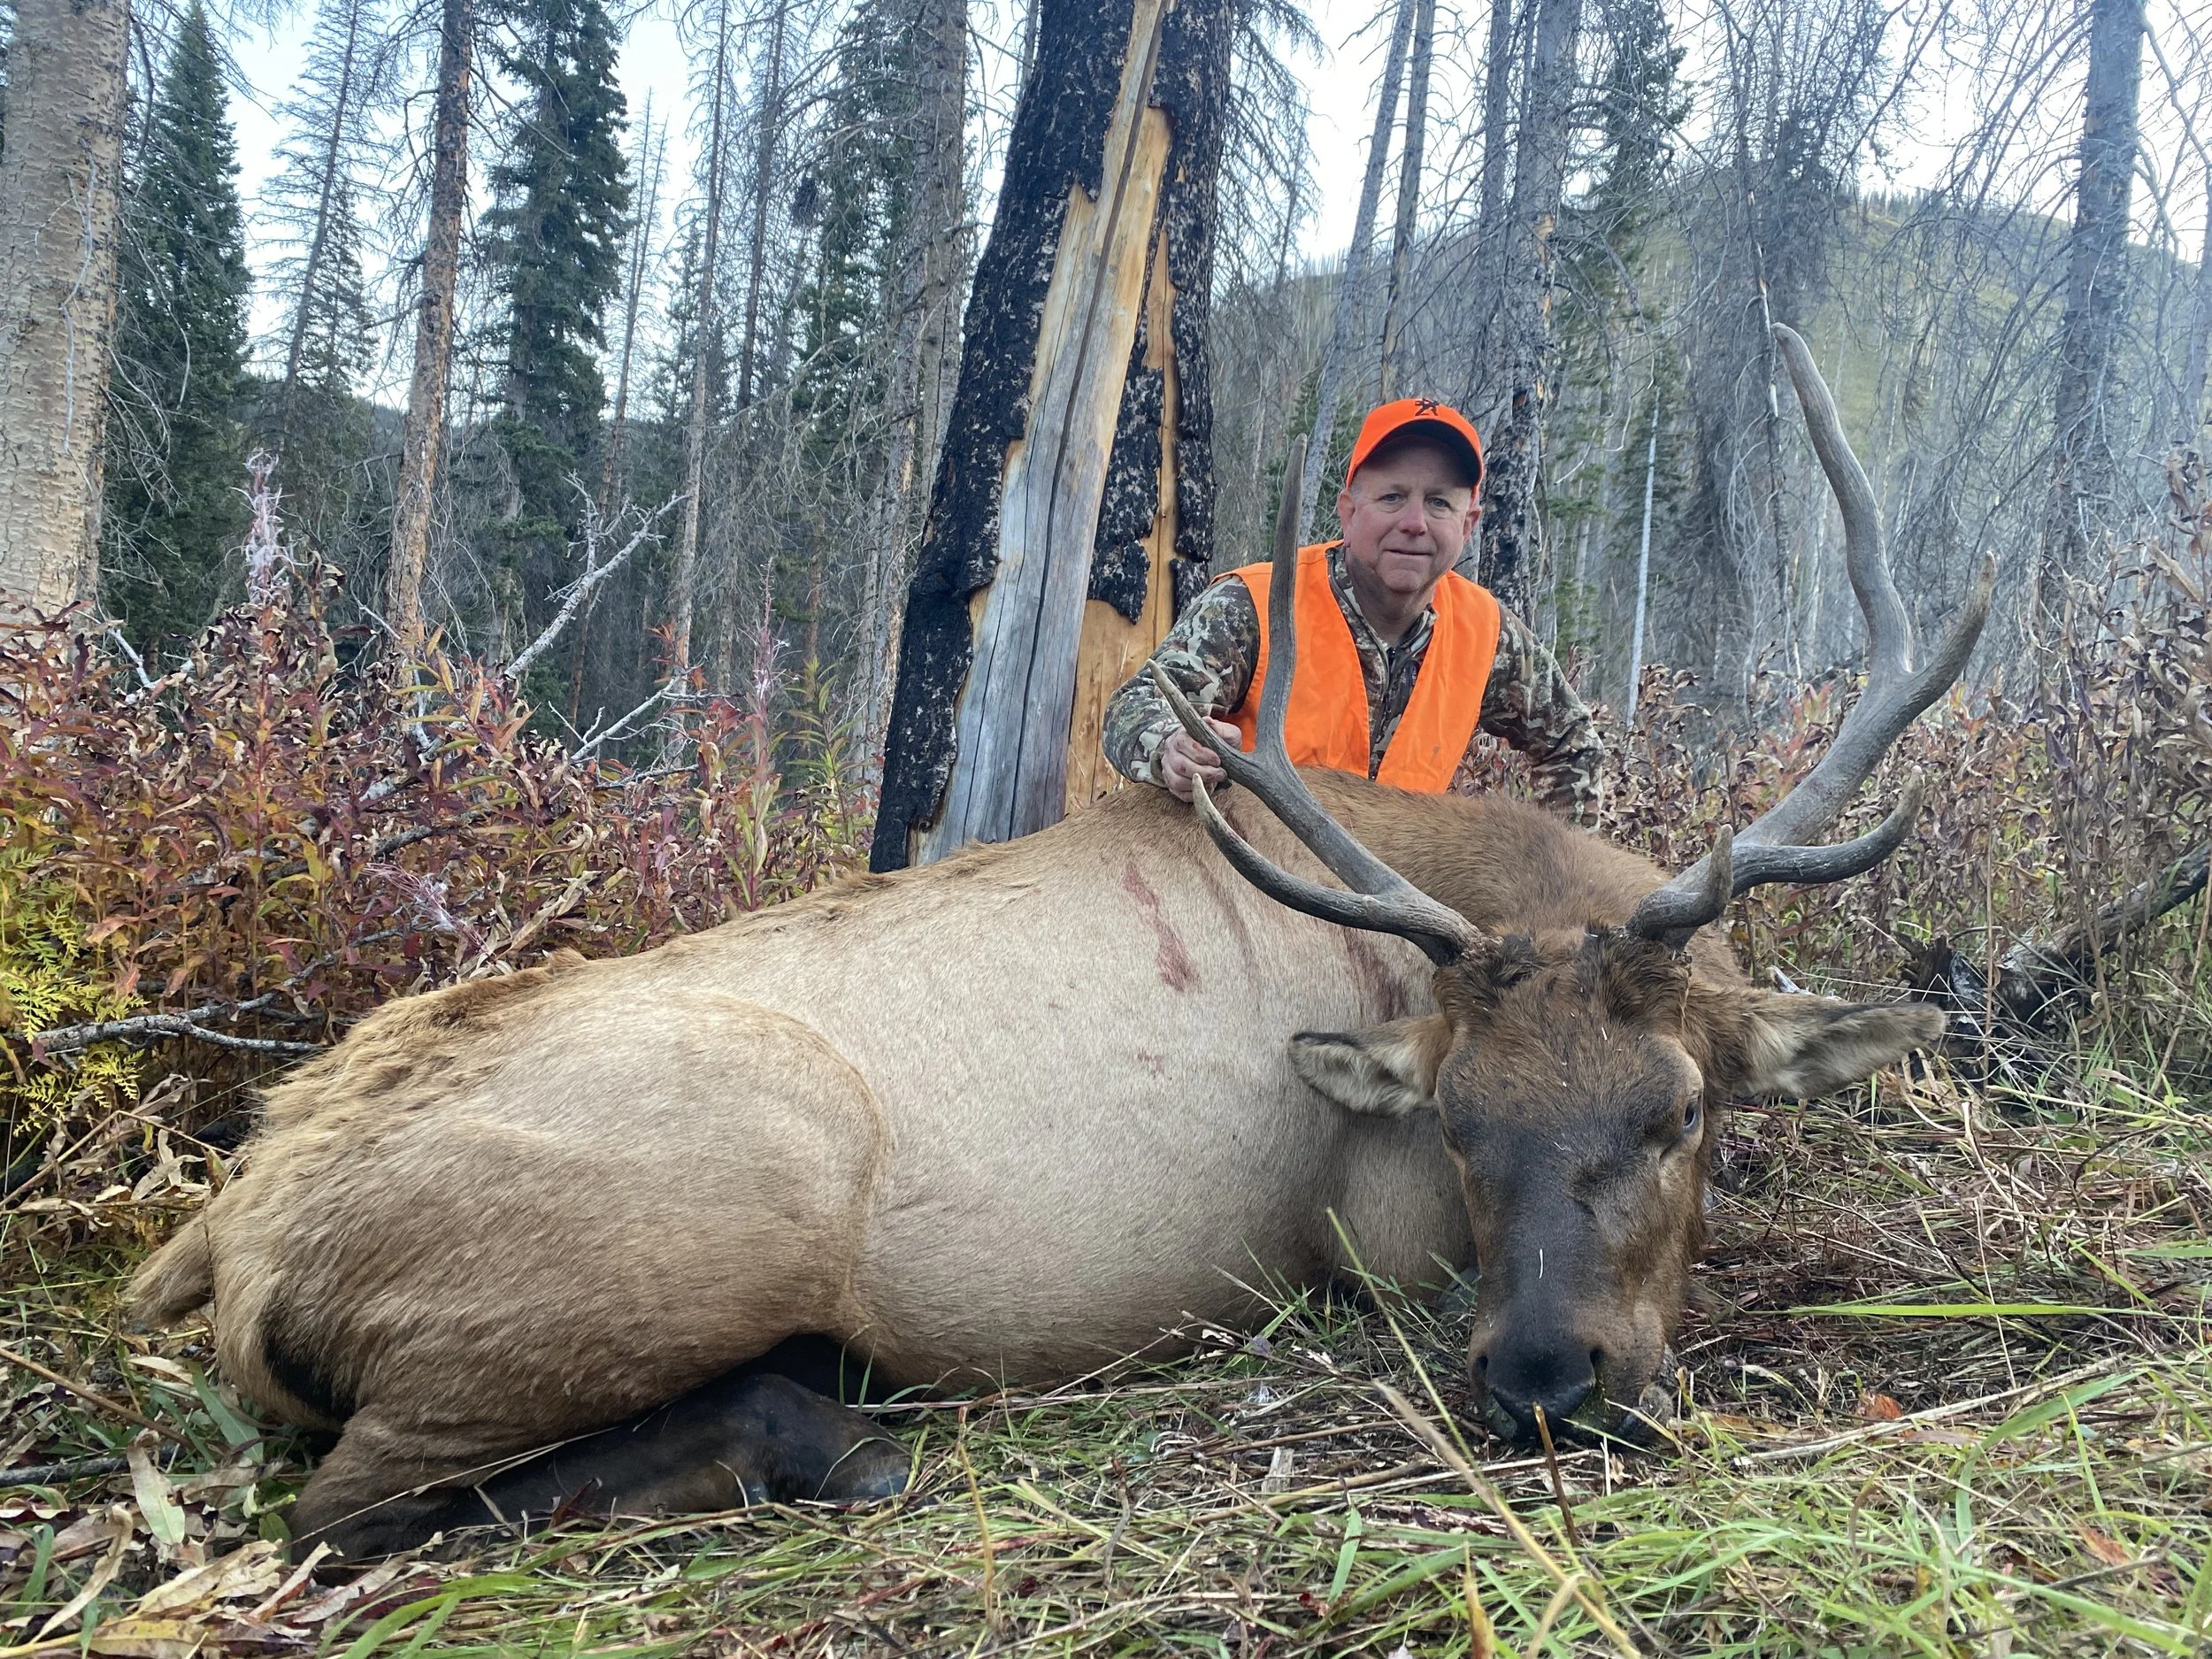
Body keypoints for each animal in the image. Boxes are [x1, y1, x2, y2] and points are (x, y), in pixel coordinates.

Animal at [131, 325, 1985, 1560]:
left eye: (1678, 1111)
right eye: (1456, 1129)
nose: (1545, 1377)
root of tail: (230, 1234)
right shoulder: (1380, 1244)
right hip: (731, 1189)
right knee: (342, 1517)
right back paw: (834, 1438)